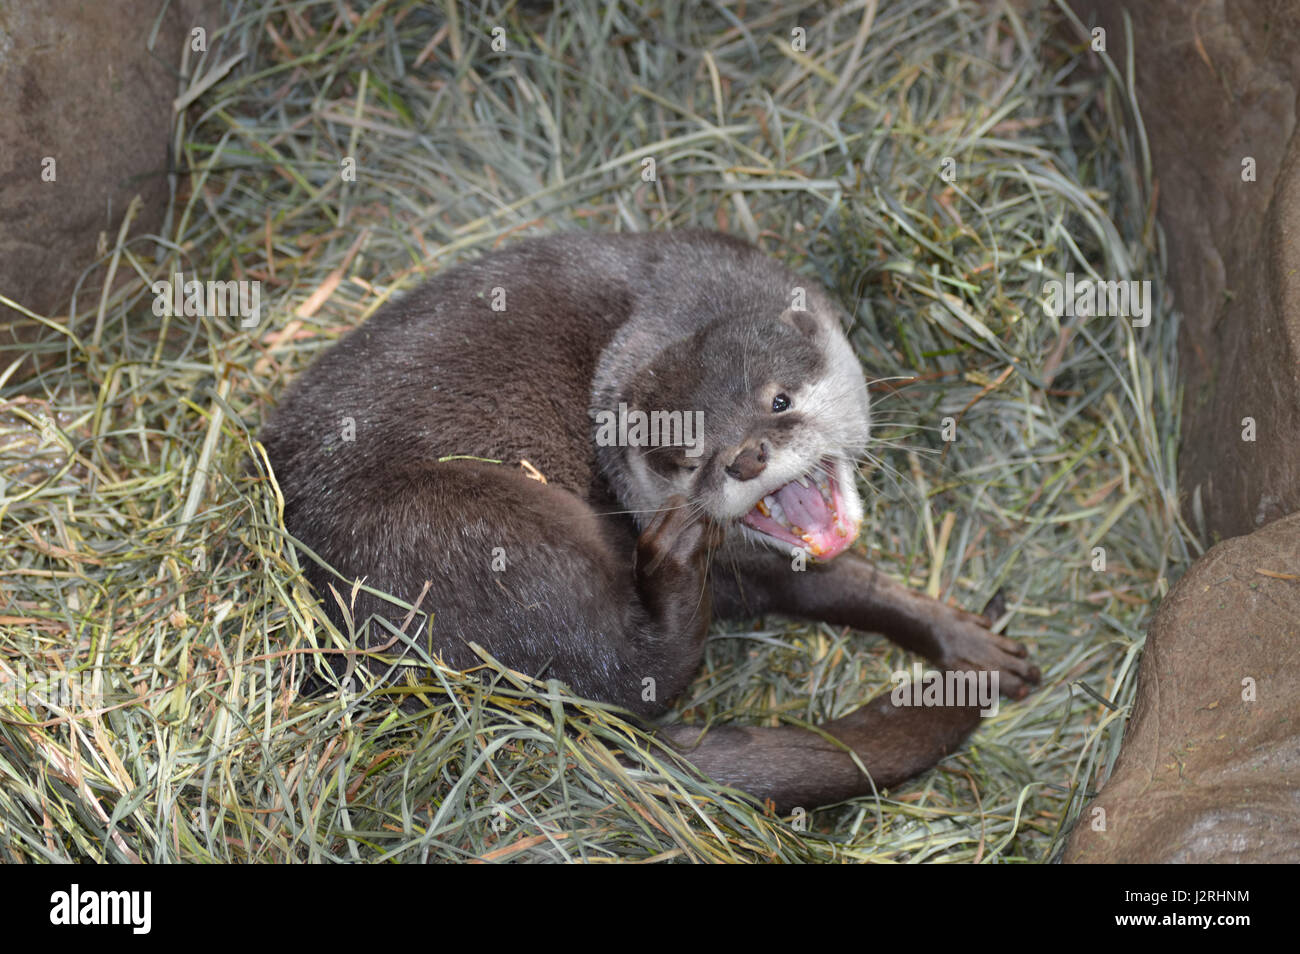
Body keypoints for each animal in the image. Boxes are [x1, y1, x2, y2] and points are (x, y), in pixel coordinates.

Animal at [260, 230, 1039, 811]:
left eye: (779, 401)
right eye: (689, 454)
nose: (746, 457)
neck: (667, 306)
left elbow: (853, 580)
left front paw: (967, 637)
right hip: (478, 530)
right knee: (641, 666)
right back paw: (671, 558)